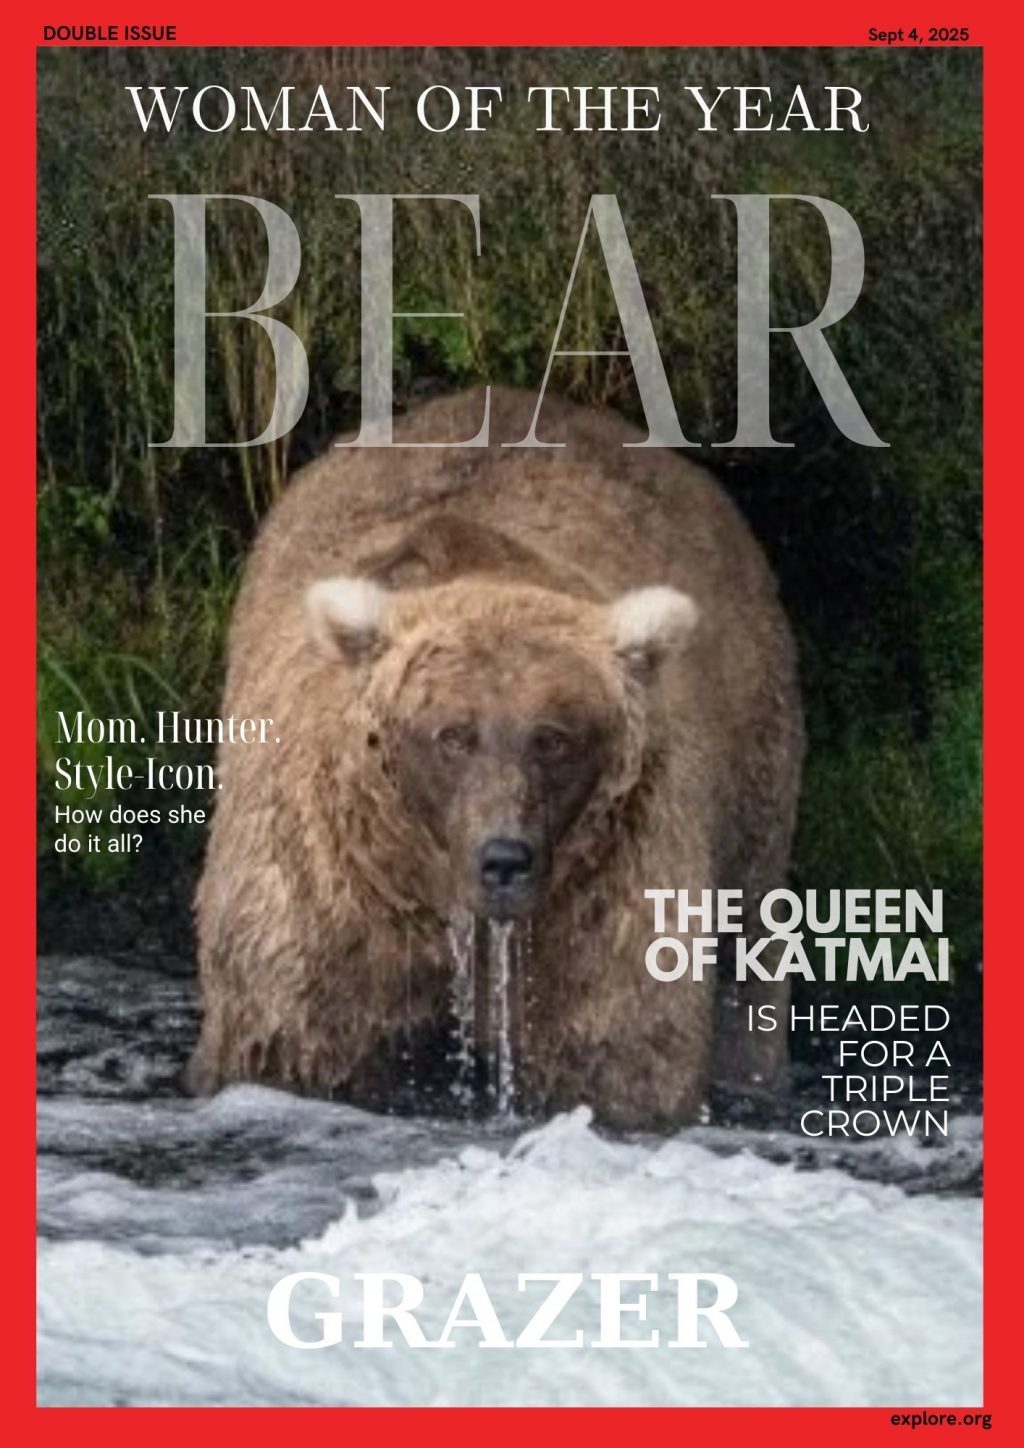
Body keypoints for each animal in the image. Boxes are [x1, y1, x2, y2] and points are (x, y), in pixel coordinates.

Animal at [189, 387, 804, 1130]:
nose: (504, 859)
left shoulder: (604, 897)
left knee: (749, 964)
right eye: (452, 734)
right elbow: (289, 1039)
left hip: (754, 780)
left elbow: (620, 1051)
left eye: (555, 738)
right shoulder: (327, 895)